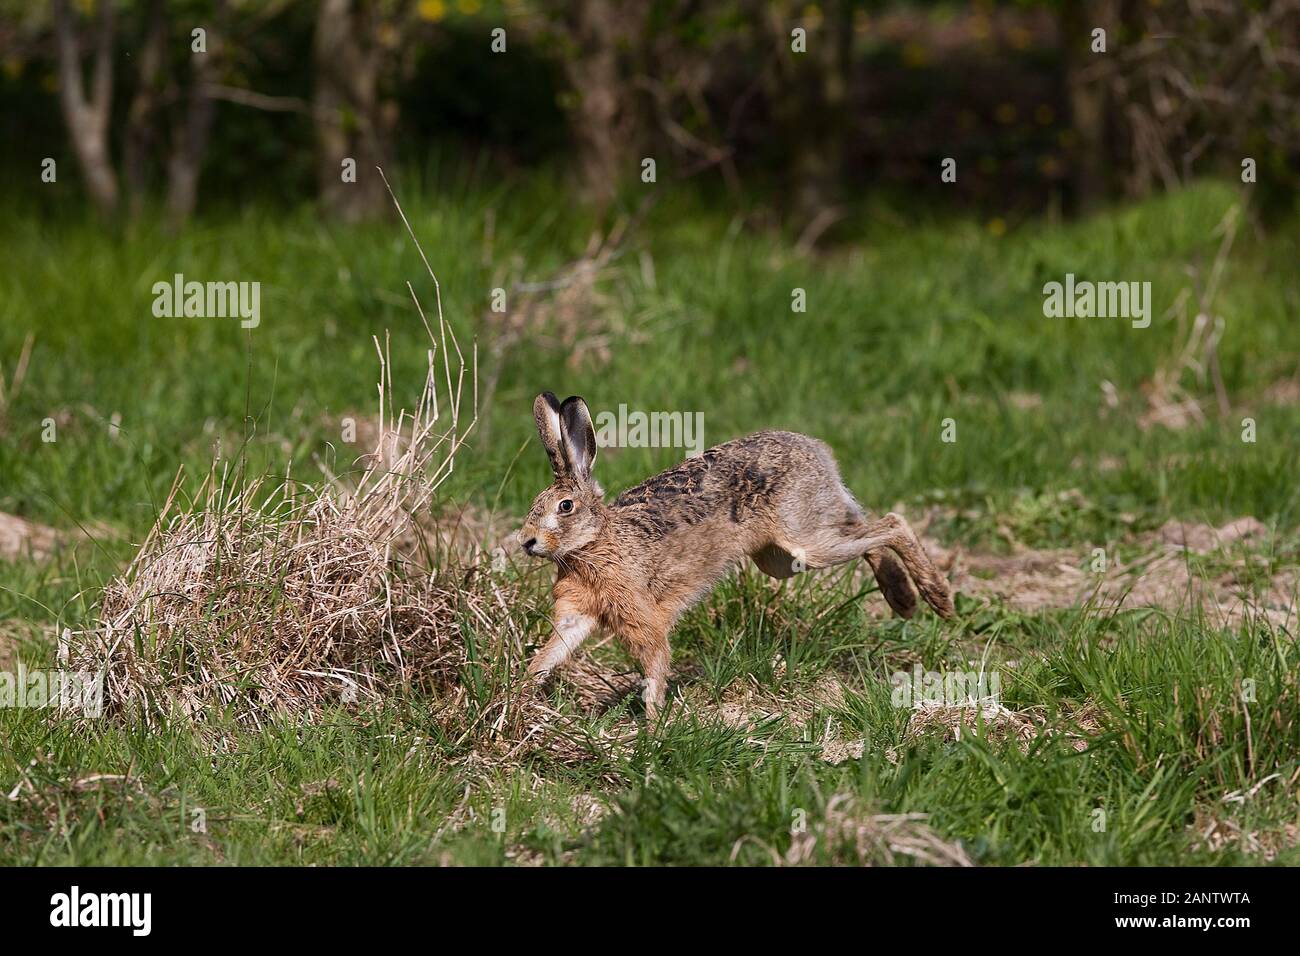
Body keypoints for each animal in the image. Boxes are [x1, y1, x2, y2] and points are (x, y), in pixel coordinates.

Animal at [518, 392, 955, 719]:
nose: (526, 541)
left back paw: (939, 598)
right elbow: (550, 655)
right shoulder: (577, 612)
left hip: (805, 543)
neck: (595, 545)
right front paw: (520, 694)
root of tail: (818, 452)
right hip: (781, 558)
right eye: (535, 503)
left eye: (565, 507)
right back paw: (903, 598)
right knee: (865, 529)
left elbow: (655, 664)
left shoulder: (642, 617)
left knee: (893, 523)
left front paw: (654, 729)